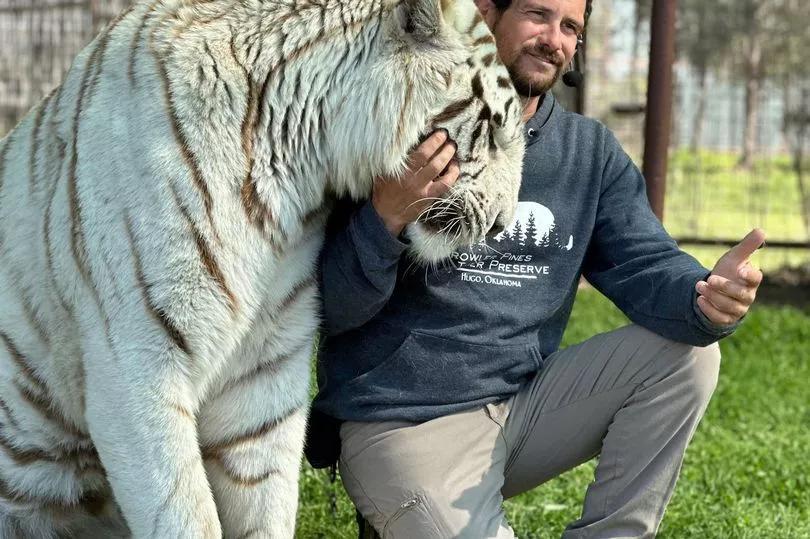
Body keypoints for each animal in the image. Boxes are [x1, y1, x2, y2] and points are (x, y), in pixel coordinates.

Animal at [0, 0, 524, 536]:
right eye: (494, 127)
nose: (503, 223)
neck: (291, 164)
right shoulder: (138, 360)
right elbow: (184, 513)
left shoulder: (266, 368)